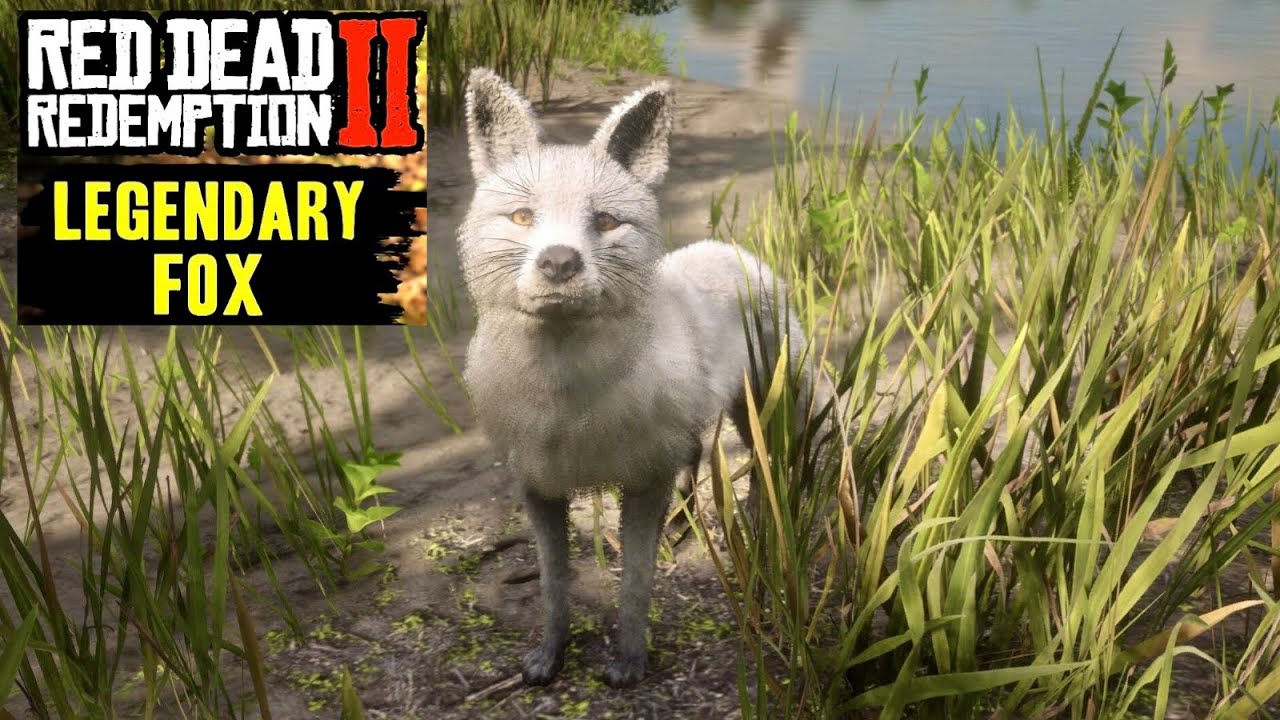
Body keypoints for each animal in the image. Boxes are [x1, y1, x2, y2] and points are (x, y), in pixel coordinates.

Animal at [456, 68, 833, 689]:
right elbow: (554, 586)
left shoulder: (642, 479)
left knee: (769, 466)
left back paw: (759, 532)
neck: (566, 402)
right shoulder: (539, 484)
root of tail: (727, 247)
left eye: (606, 223)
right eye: (522, 218)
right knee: (695, 456)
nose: (559, 263)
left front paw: (629, 662)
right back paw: (689, 521)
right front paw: (548, 657)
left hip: (764, 404)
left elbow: (635, 582)